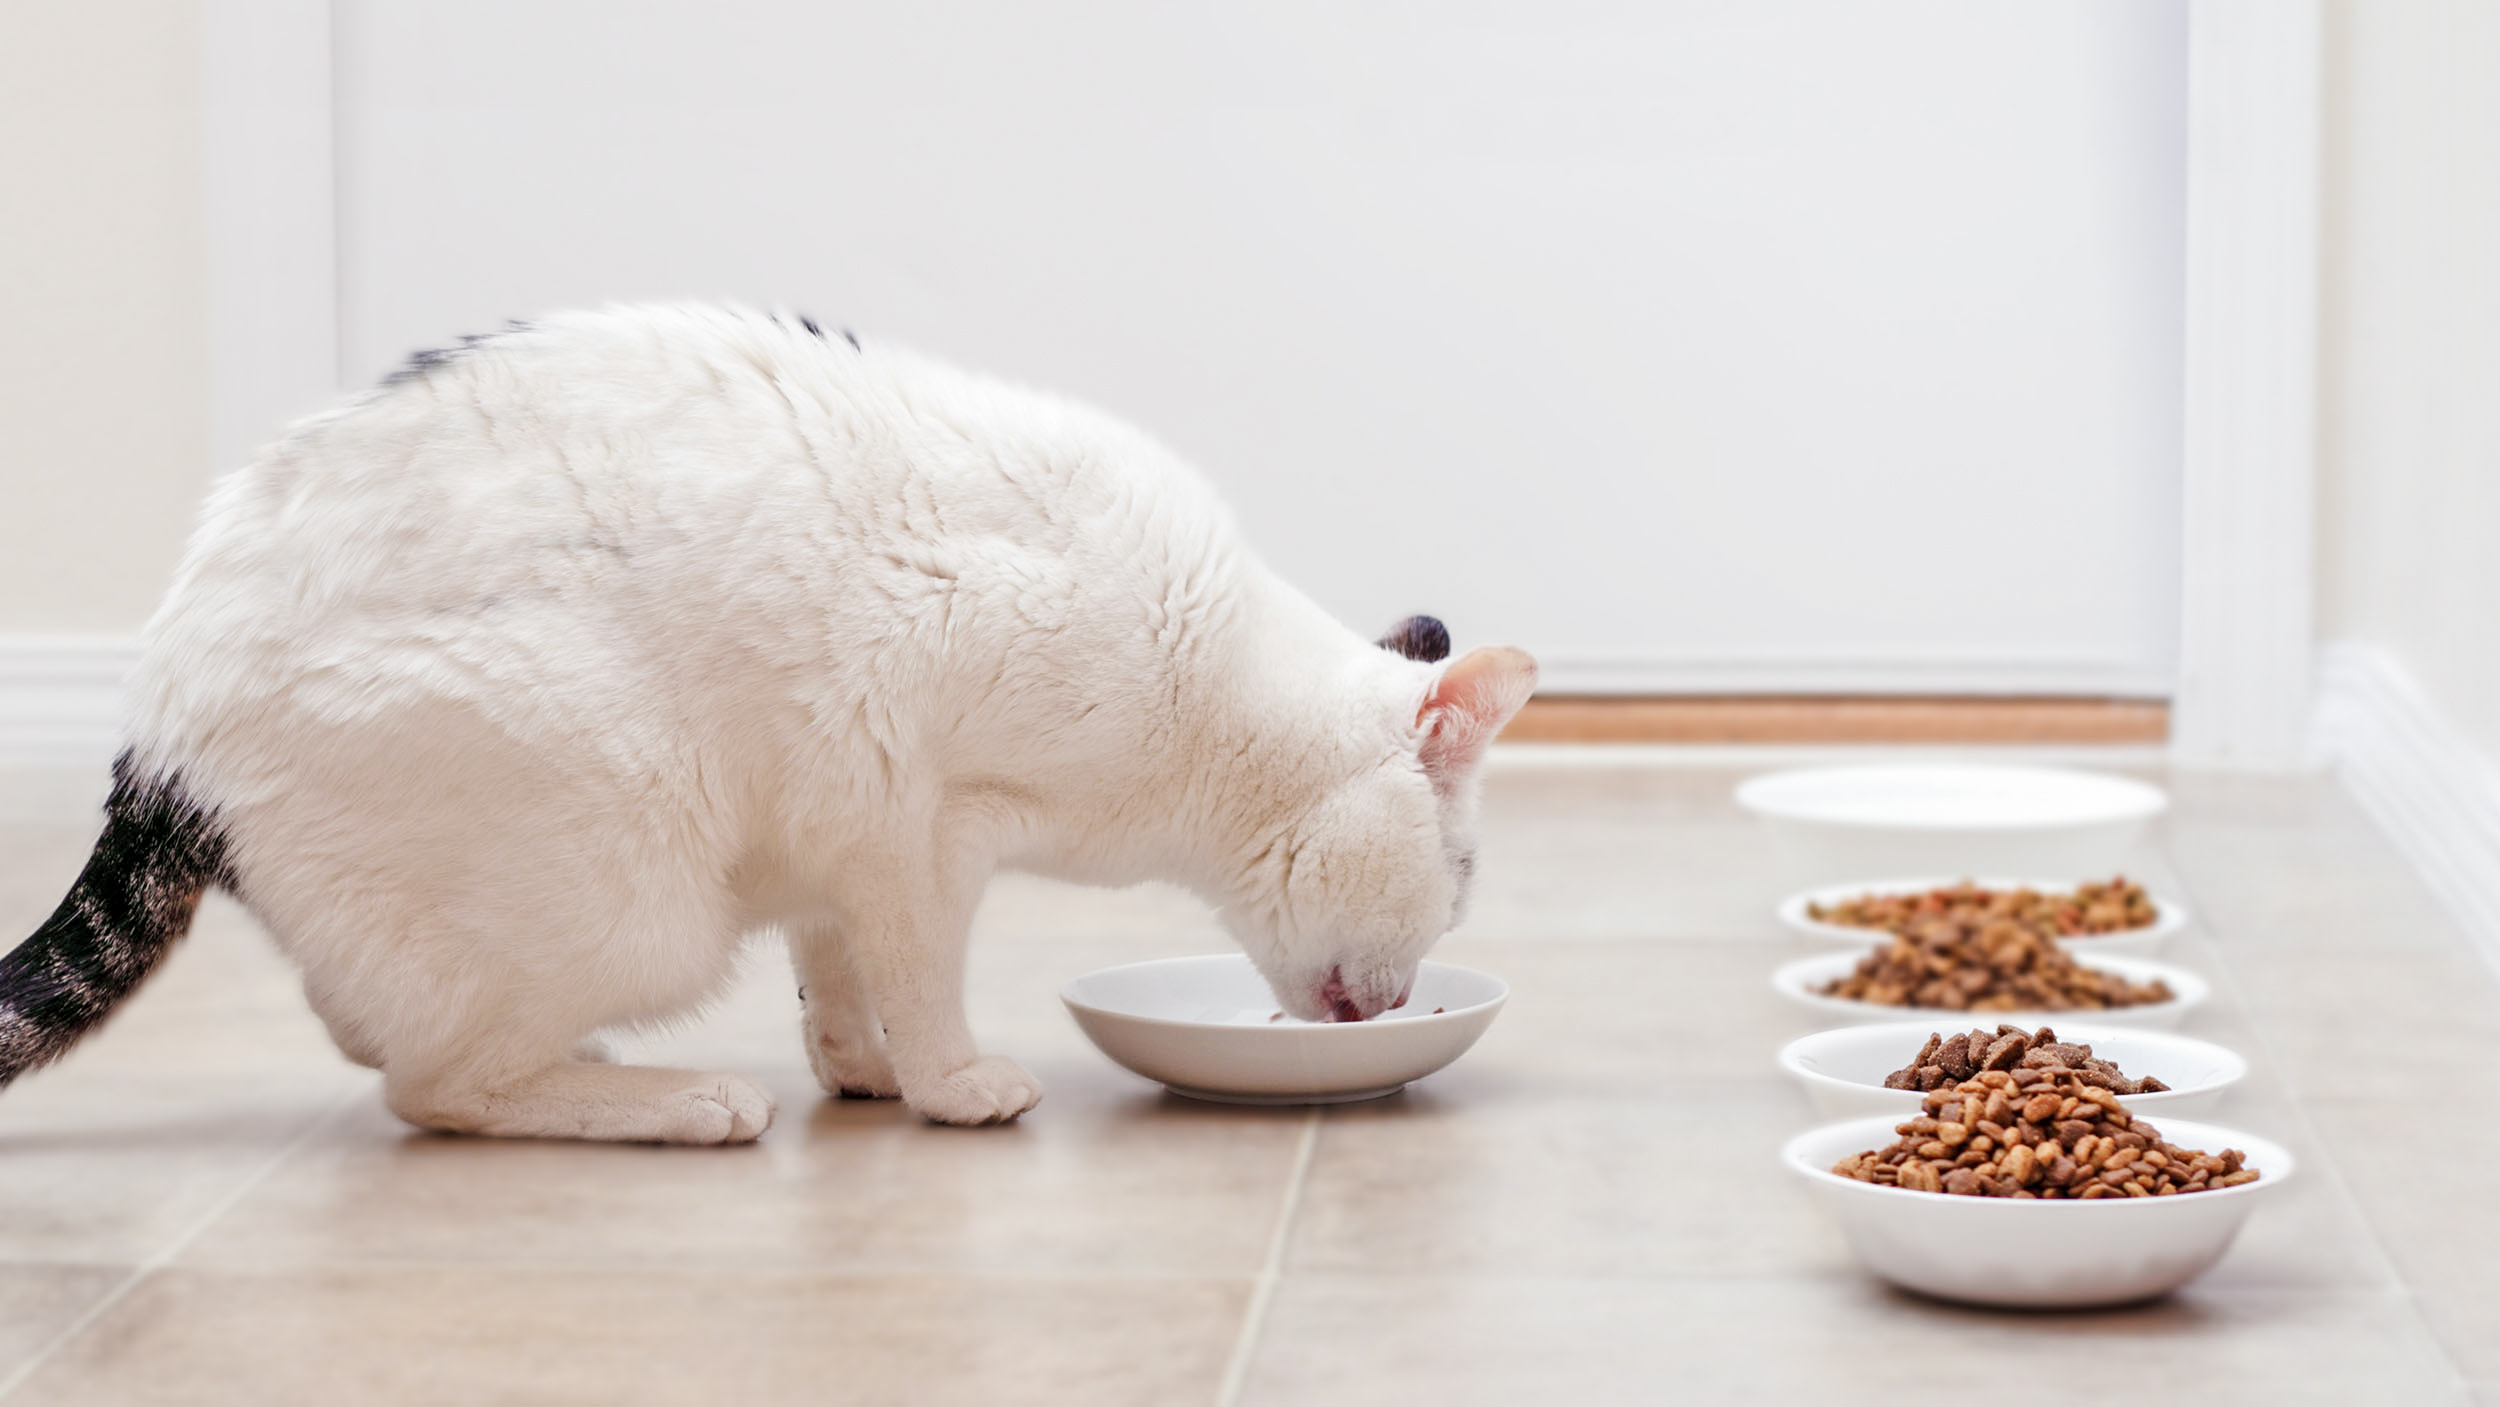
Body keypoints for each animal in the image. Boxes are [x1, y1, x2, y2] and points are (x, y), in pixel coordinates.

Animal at [0, 308, 1530, 1144]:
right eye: (1461, 884)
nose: (1414, 985)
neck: (1212, 707)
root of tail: (154, 734)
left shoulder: (834, 822)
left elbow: (831, 960)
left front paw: (859, 1069)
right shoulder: (917, 817)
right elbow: (917, 967)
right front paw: (951, 1083)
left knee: (380, 1024)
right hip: (640, 877)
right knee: (431, 1088)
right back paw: (678, 1101)